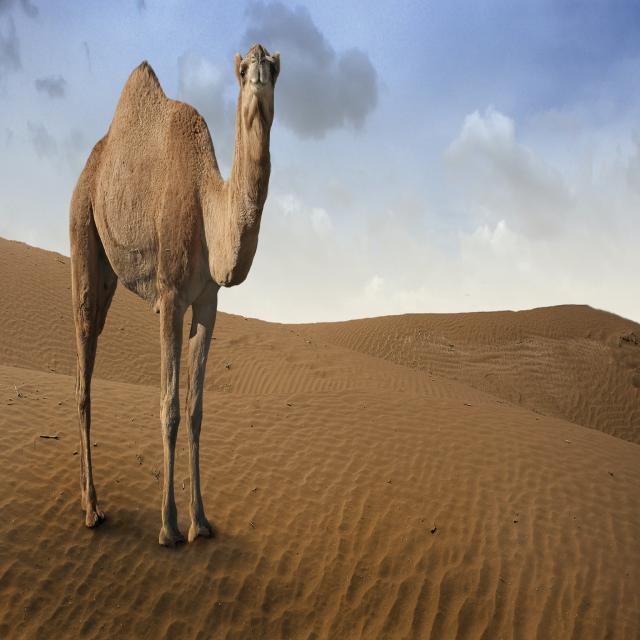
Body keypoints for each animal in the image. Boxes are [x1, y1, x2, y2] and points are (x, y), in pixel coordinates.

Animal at [69, 44, 280, 546]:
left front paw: (200, 522)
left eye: (275, 69)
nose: (259, 72)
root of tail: (94, 161)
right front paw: (168, 527)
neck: (208, 205)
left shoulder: (207, 303)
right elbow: (168, 406)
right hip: (81, 220)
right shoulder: (169, 297)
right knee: (84, 363)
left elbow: (196, 408)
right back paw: (91, 508)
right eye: (243, 68)